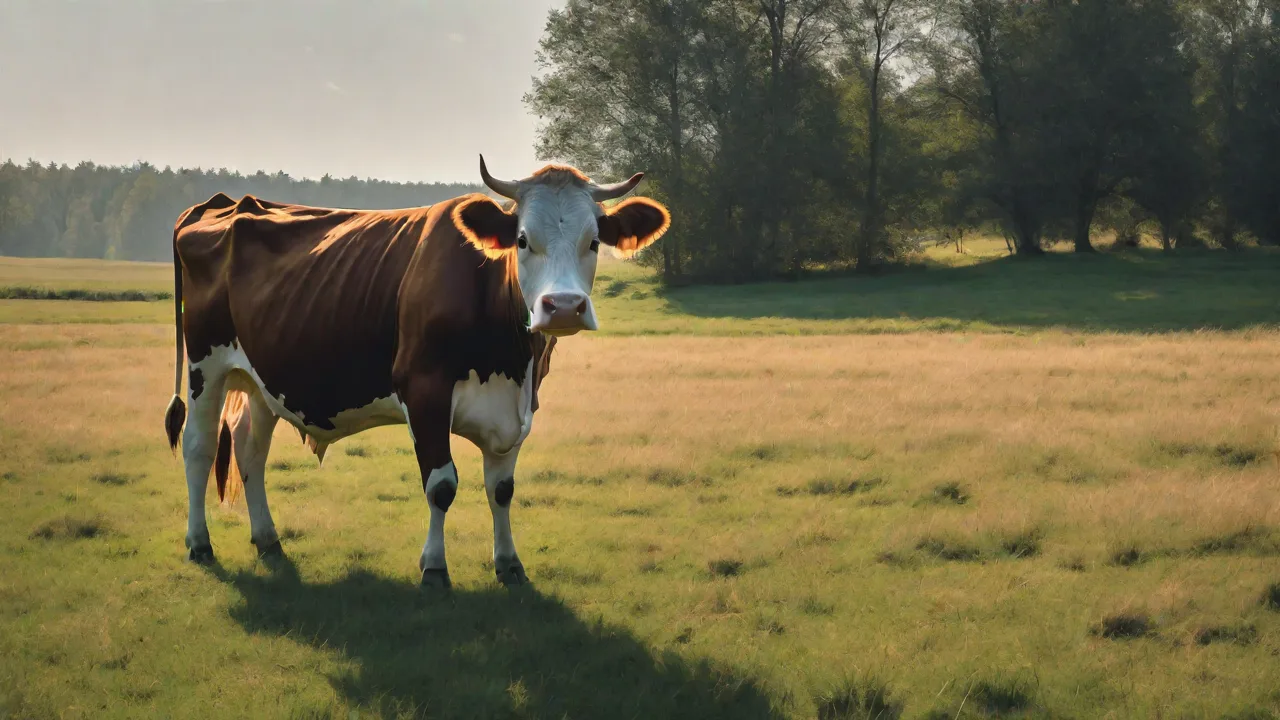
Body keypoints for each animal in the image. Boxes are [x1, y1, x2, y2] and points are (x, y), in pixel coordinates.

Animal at [163, 156, 670, 588]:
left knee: (250, 449)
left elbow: (502, 489)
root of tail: (225, 204)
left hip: (262, 376)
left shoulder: (519, 405)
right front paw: (434, 568)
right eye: (523, 240)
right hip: (205, 365)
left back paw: (268, 539)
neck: (507, 358)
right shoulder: (424, 391)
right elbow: (441, 485)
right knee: (199, 447)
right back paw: (199, 543)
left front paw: (509, 563)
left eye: (594, 241)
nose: (563, 306)